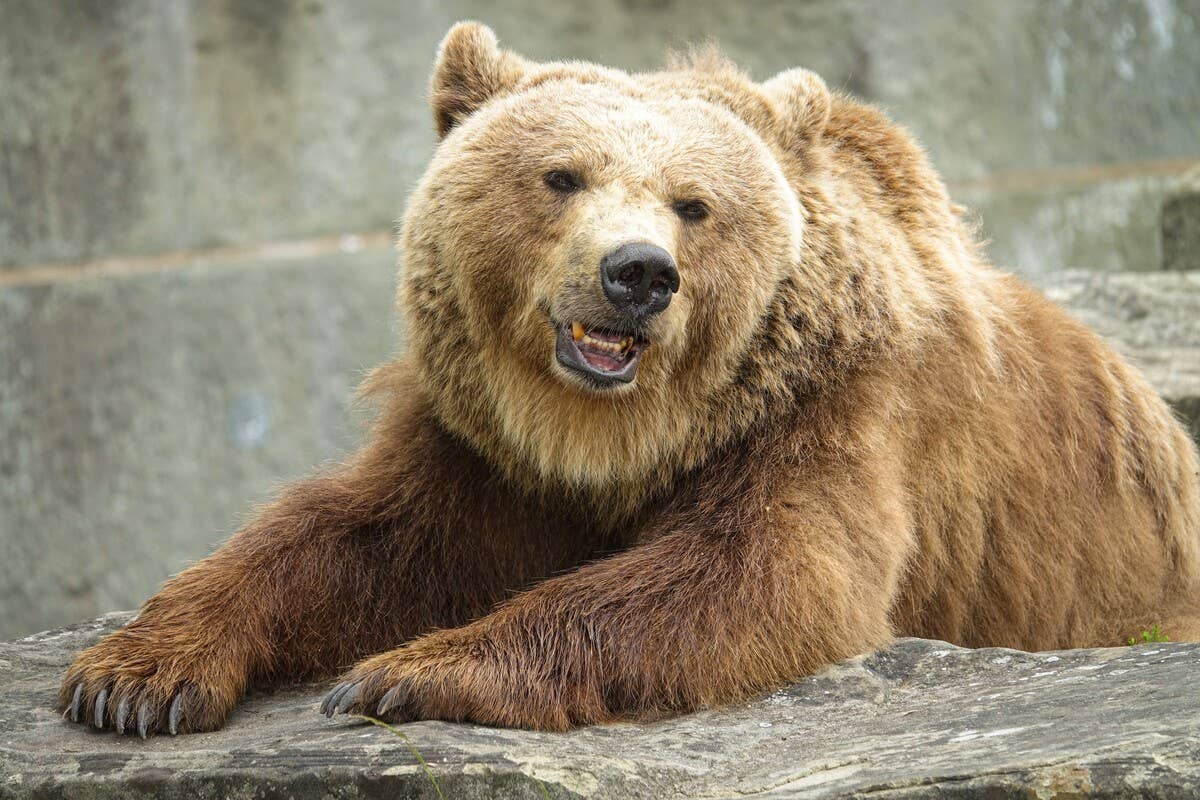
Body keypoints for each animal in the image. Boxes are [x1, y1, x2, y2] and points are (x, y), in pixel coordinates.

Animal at [60, 22, 1200, 736]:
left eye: (695, 203)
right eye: (560, 175)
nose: (638, 273)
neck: (614, 435)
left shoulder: (830, 411)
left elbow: (760, 576)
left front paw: (403, 672)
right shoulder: (487, 448)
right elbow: (353, 535)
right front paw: (131, 676)